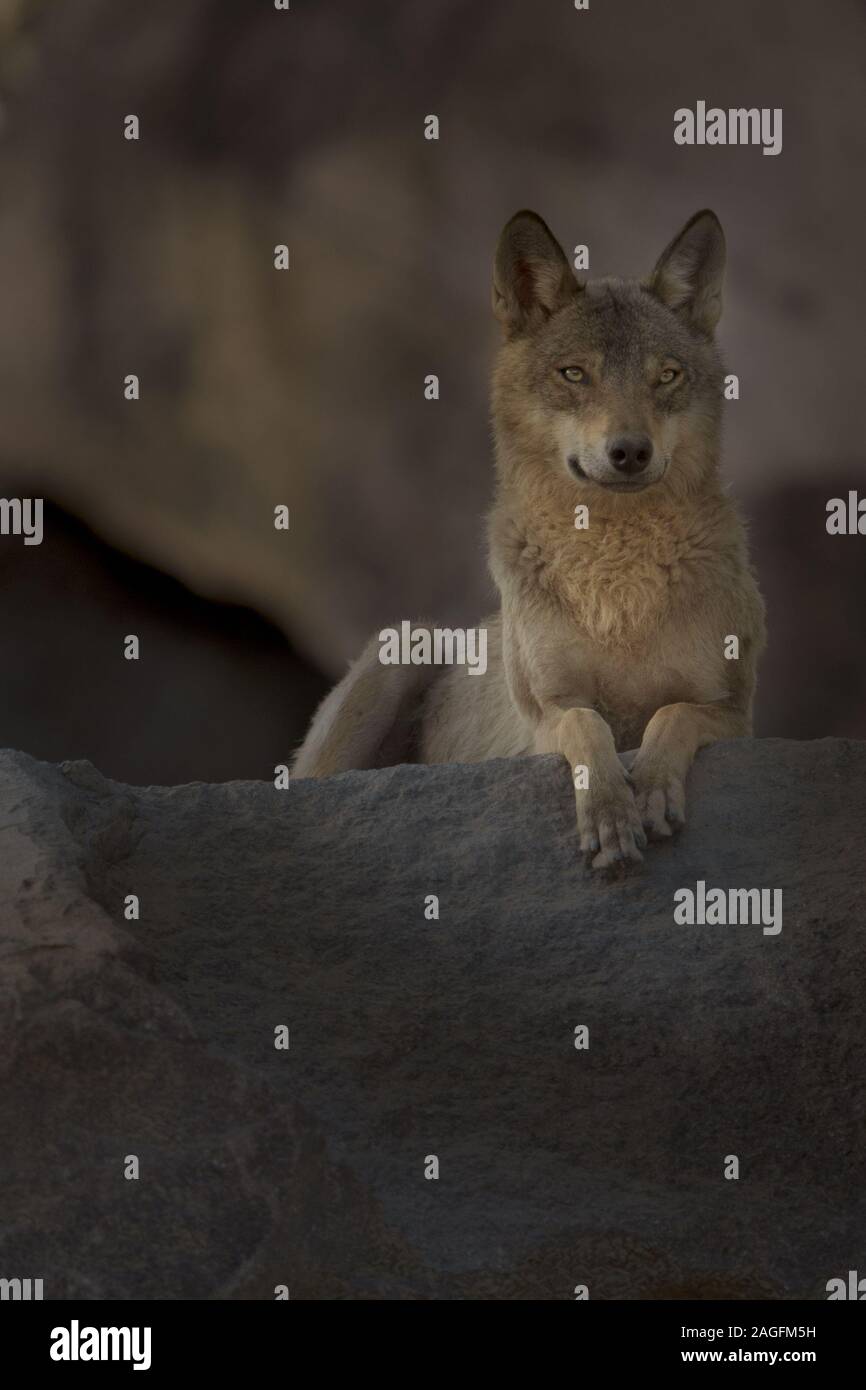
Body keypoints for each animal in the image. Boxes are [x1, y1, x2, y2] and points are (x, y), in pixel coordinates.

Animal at [293, 208, 766, 869]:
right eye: (575, 374)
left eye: (666, 376)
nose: (630, 452)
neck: (616, 576)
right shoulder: (547, 714)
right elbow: (588, 728)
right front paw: (611, 816)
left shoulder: (735, 714)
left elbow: (670, 715)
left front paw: (648, 789)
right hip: (405, 643)